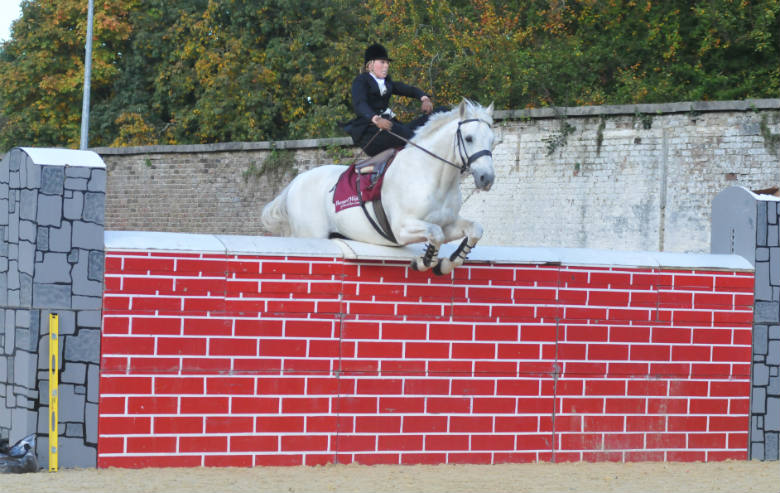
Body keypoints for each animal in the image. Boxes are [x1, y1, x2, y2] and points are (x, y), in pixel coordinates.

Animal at [261, 99, 495, 275]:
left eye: (492, 141)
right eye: (469, 138)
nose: (487, 178)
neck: (434, 178)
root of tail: (295, 183)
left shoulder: (448, 224)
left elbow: (475, 229)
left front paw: (446, 263)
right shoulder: (402, 228)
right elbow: (435, 234)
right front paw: (423, 262)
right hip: (311, 234)